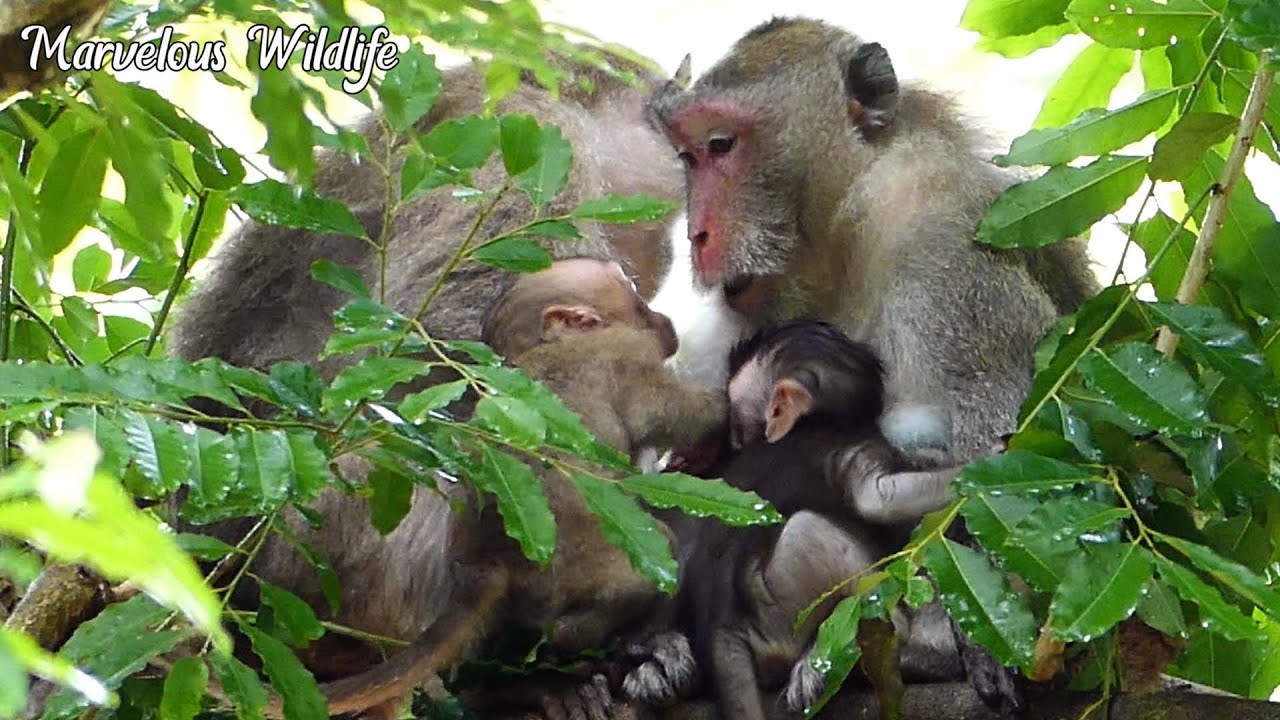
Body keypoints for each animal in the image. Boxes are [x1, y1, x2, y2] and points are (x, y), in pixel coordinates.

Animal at [267, 258, 727, 718]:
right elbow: (681, 411)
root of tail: (485, 560)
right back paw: (580, 641)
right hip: (580, 563)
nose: (662, 318)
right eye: (630, 290)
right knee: (647, 562)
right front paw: (729, 413)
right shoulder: (623, 355)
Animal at [646, 17, 1098, 709]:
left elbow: (999, 453)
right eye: (686, 158)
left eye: (721, 145)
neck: (847, 224)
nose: (696, 235)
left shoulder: (951, 257)